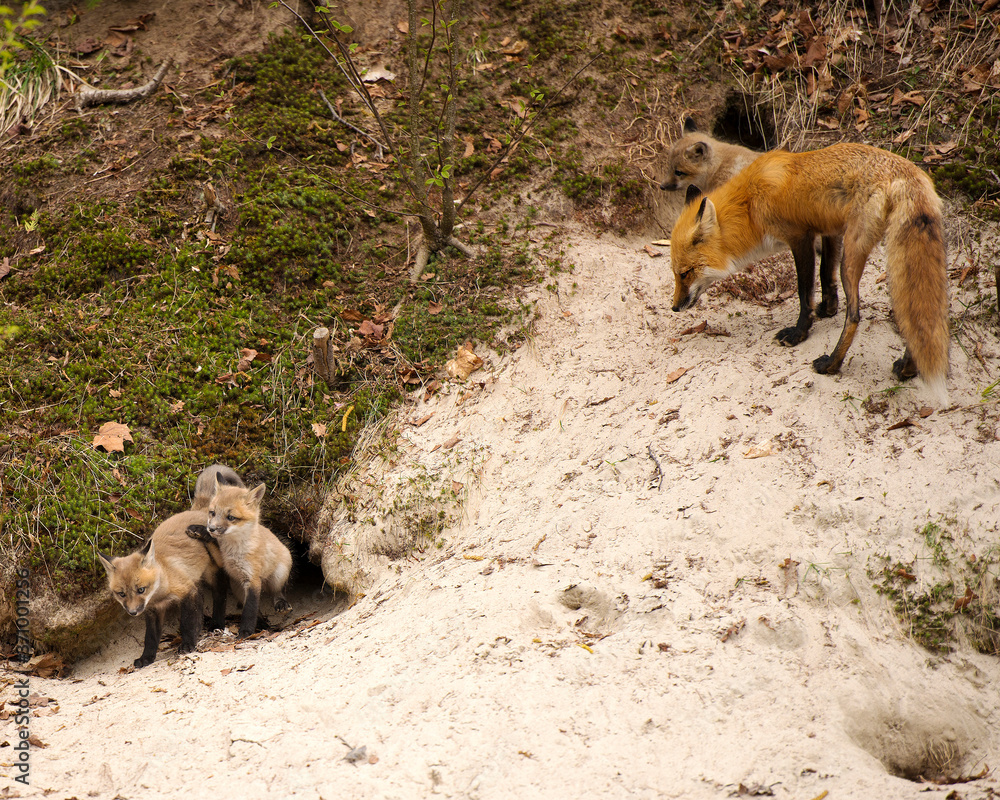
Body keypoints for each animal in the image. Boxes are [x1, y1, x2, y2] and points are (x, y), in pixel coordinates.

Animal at [187, 475, 292, 639]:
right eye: (212, 512)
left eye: (231, 517)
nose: (211, 528)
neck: (233, 550)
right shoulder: (222, 560)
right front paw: (200, 531)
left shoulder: (253, 579)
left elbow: (250, 610)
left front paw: (246, 632)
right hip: (237, 586)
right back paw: (261, 623)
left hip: (278, 574)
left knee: (277, 590)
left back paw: (280, 602)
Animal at [670, 142, 949, 403]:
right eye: (674, 273)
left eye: (685, 273)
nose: (674, 307)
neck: (749, 205)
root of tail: (909, 172)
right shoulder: (829, 230)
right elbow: (826, 276)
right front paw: (827, 309)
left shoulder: (800, 238)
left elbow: (805, 293)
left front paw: (799, 333)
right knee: (919, 316)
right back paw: (908, 368)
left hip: (852, 255)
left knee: (855, 316)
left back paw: (831, 364)